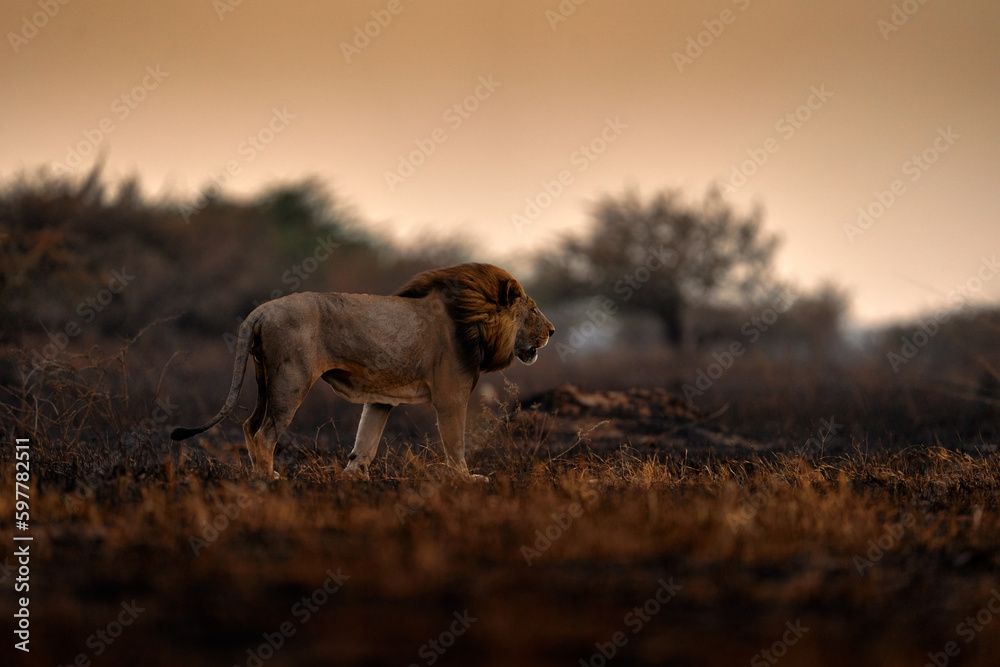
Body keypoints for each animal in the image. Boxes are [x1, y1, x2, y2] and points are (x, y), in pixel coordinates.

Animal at [170, 263, 554, 480]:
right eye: (534, 310)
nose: (552, 331)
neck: (475, 319)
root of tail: (260, 310)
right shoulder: (451, 397)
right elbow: (455, 443)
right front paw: (466, 479)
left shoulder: (382, 398)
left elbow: (366, 441)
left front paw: (355, 476)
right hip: (290, 381)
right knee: (265, 433)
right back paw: (267, 481)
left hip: (264, 377)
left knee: (250, 426)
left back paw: (264, 475)